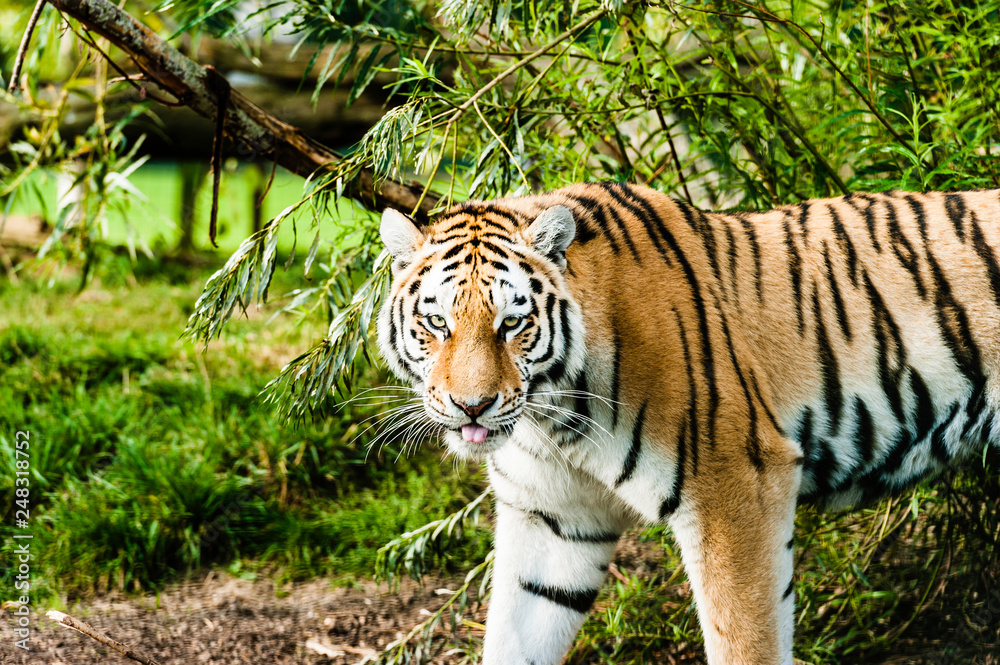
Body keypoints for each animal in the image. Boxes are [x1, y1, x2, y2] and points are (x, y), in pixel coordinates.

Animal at [375, 182, 1000, 665]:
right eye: (437, 323)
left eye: (511, 323)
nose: (472, 406)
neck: (553, 419)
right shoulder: (552, 518)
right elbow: (514, 635)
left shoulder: (735, 490)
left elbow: (744, 642)